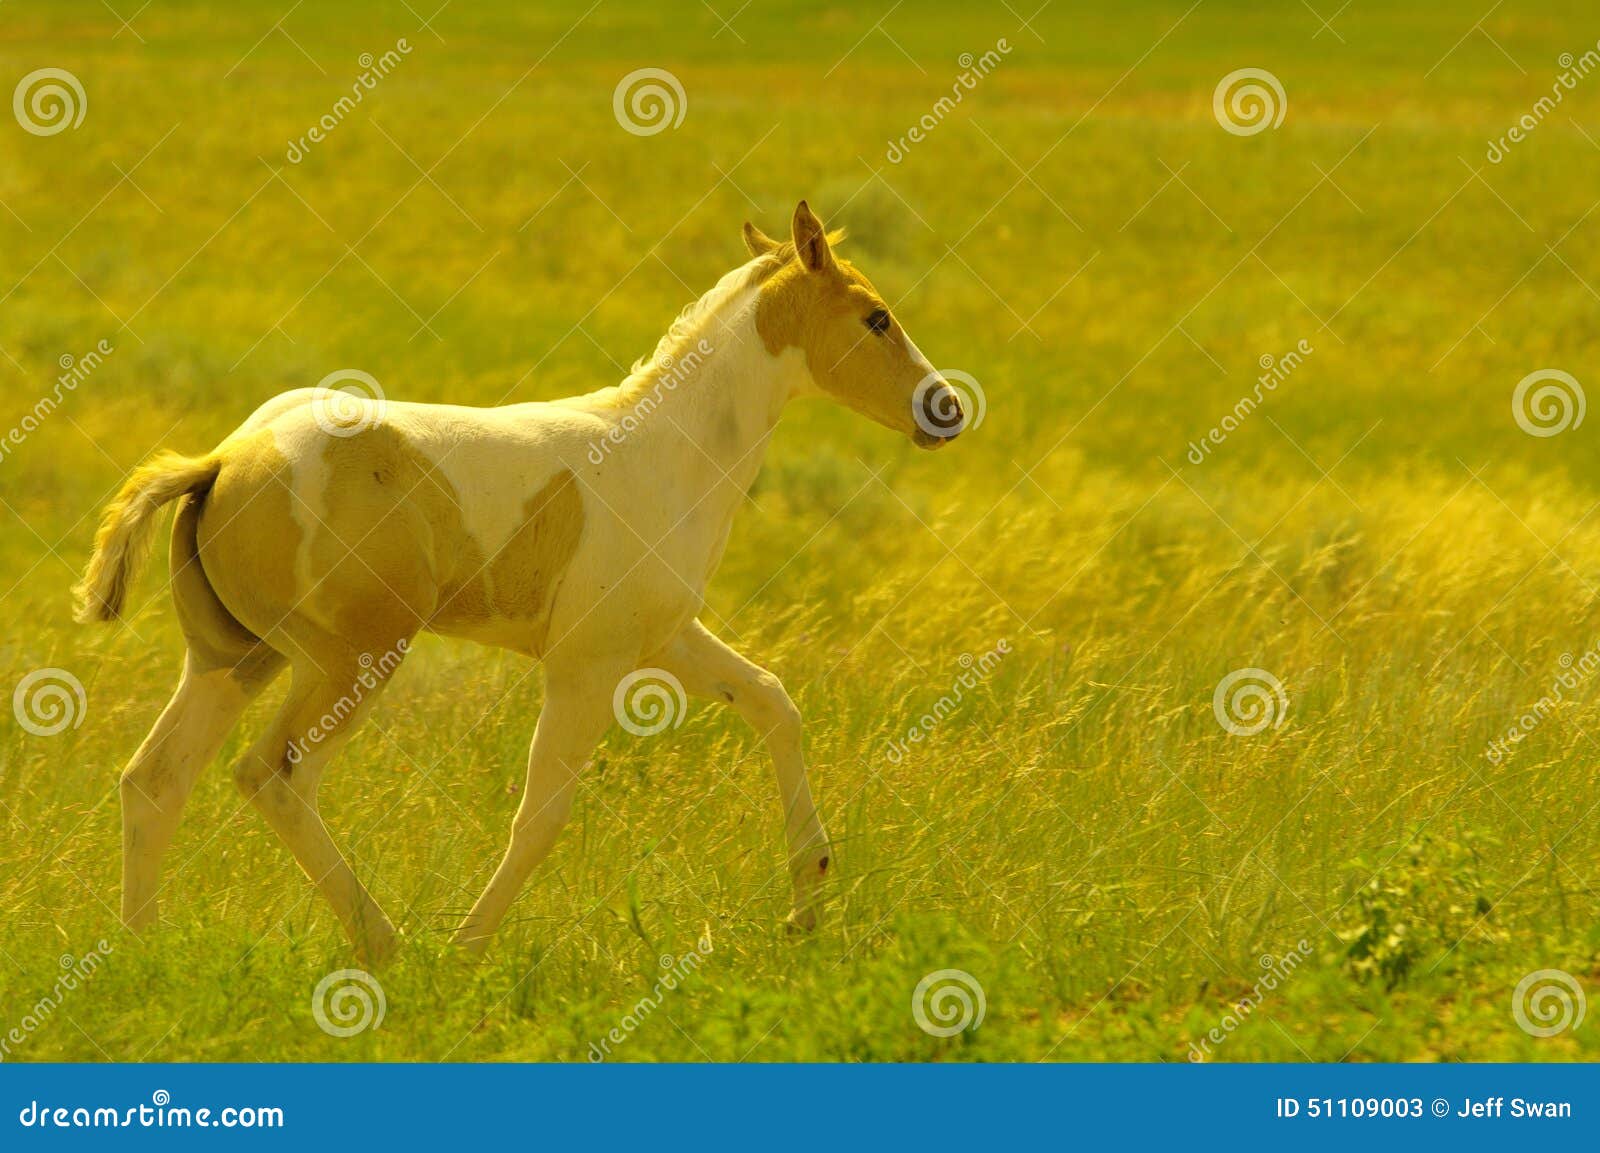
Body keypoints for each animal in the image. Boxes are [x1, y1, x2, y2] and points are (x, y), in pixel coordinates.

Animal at [74, 201, 965, 964]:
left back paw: (142, 952)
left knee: (153, 780)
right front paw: (466, 950)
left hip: (236, 658)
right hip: (349, 661)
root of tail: (223, 459)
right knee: (275, 777)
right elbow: (541, 815)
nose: (946, 407)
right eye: (876, 316)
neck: (669, 450)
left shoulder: (664, 640)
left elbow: (775, 703)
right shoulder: (586, 667)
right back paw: (387, 944)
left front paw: (806, 903)